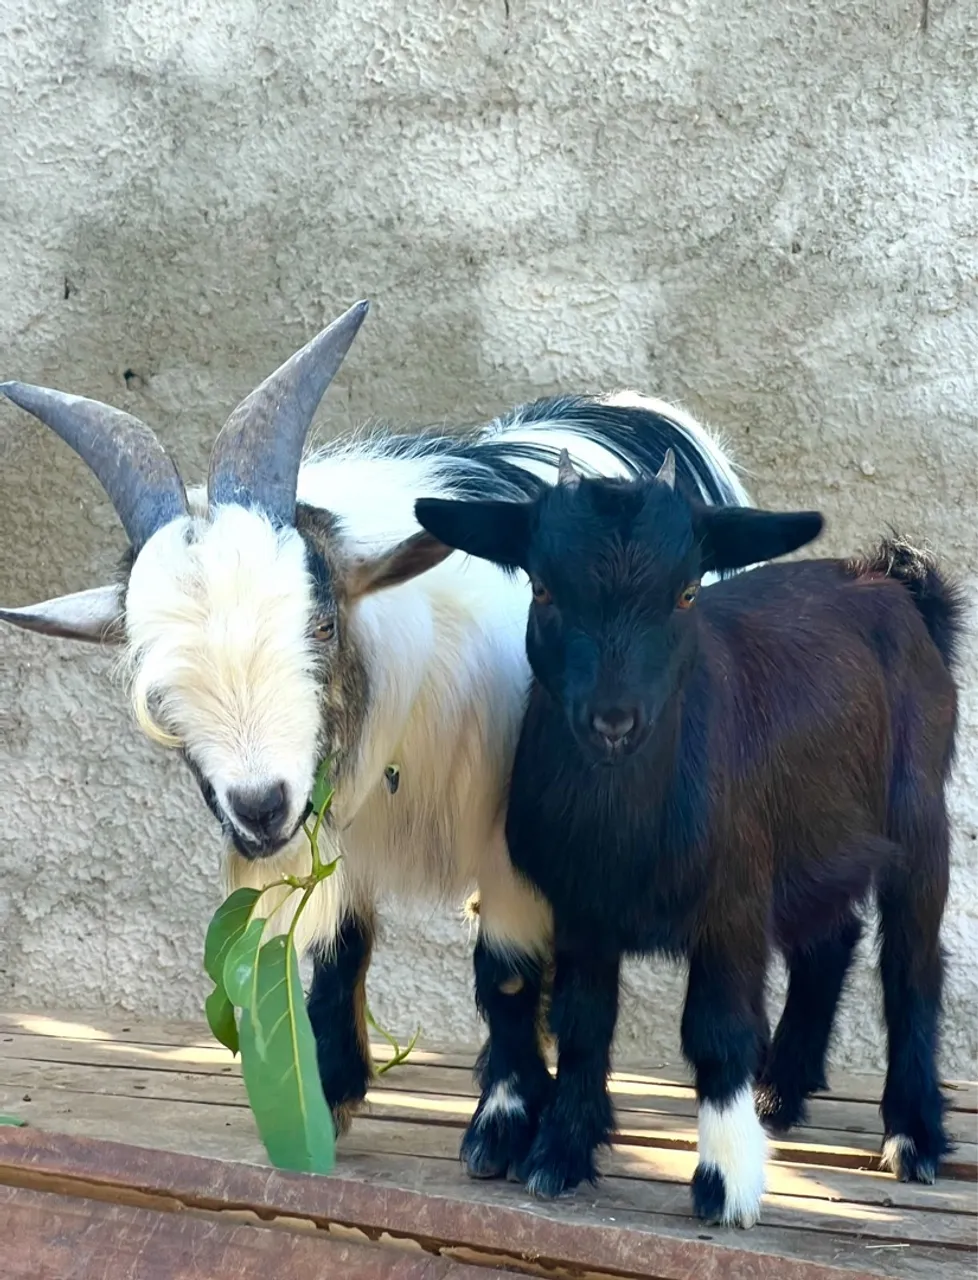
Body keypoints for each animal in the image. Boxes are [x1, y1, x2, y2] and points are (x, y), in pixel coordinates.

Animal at [1, 301, 757, 1176]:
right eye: (158, 685)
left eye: (321, 623)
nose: (259, 807)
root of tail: (643, 409)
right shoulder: (341, 834)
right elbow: (337, 951)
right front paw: (330, 1092)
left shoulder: (511, 839)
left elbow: (504, 972)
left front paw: (504, 1124)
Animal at [414, 451, 962, 1227]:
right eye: (543, 588)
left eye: (686, 593)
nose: (614, 720)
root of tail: (893, 581)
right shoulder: (582, 910)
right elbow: (583, 1022)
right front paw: (560, 1153)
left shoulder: (732, 903)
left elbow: (718, 1030)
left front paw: (725, 1182)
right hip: (814, 836)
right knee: (829, 941)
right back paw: (780, 1089)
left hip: (918, 814)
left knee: (911, 964)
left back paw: (913, 1134)